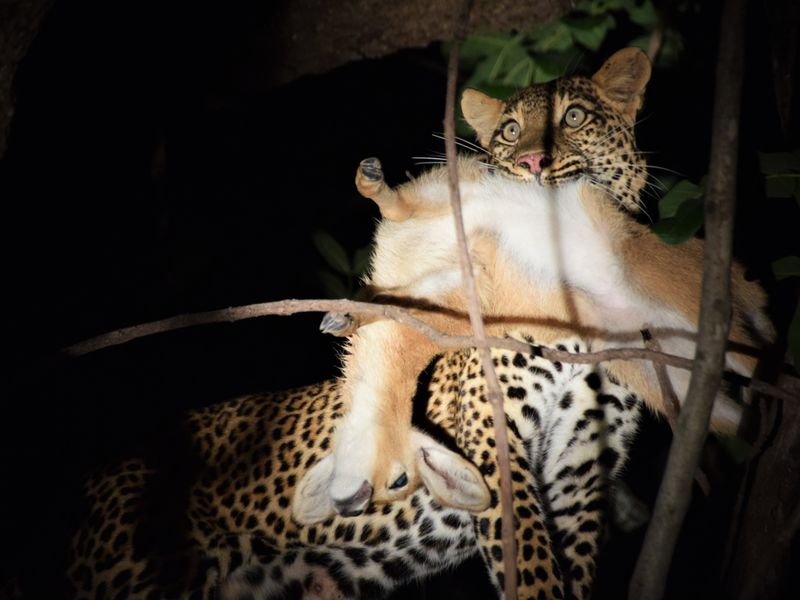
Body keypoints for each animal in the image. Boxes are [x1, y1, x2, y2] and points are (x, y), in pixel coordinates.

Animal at [316, 47, 773, 517]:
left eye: (400, 481)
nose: (351, 505)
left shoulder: (456, 237)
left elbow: (398, 207)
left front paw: (374, 186)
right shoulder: (456, 280)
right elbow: (392, 294)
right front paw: (346, 316)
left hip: (707, 316)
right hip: (665, 377)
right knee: (733, 413)